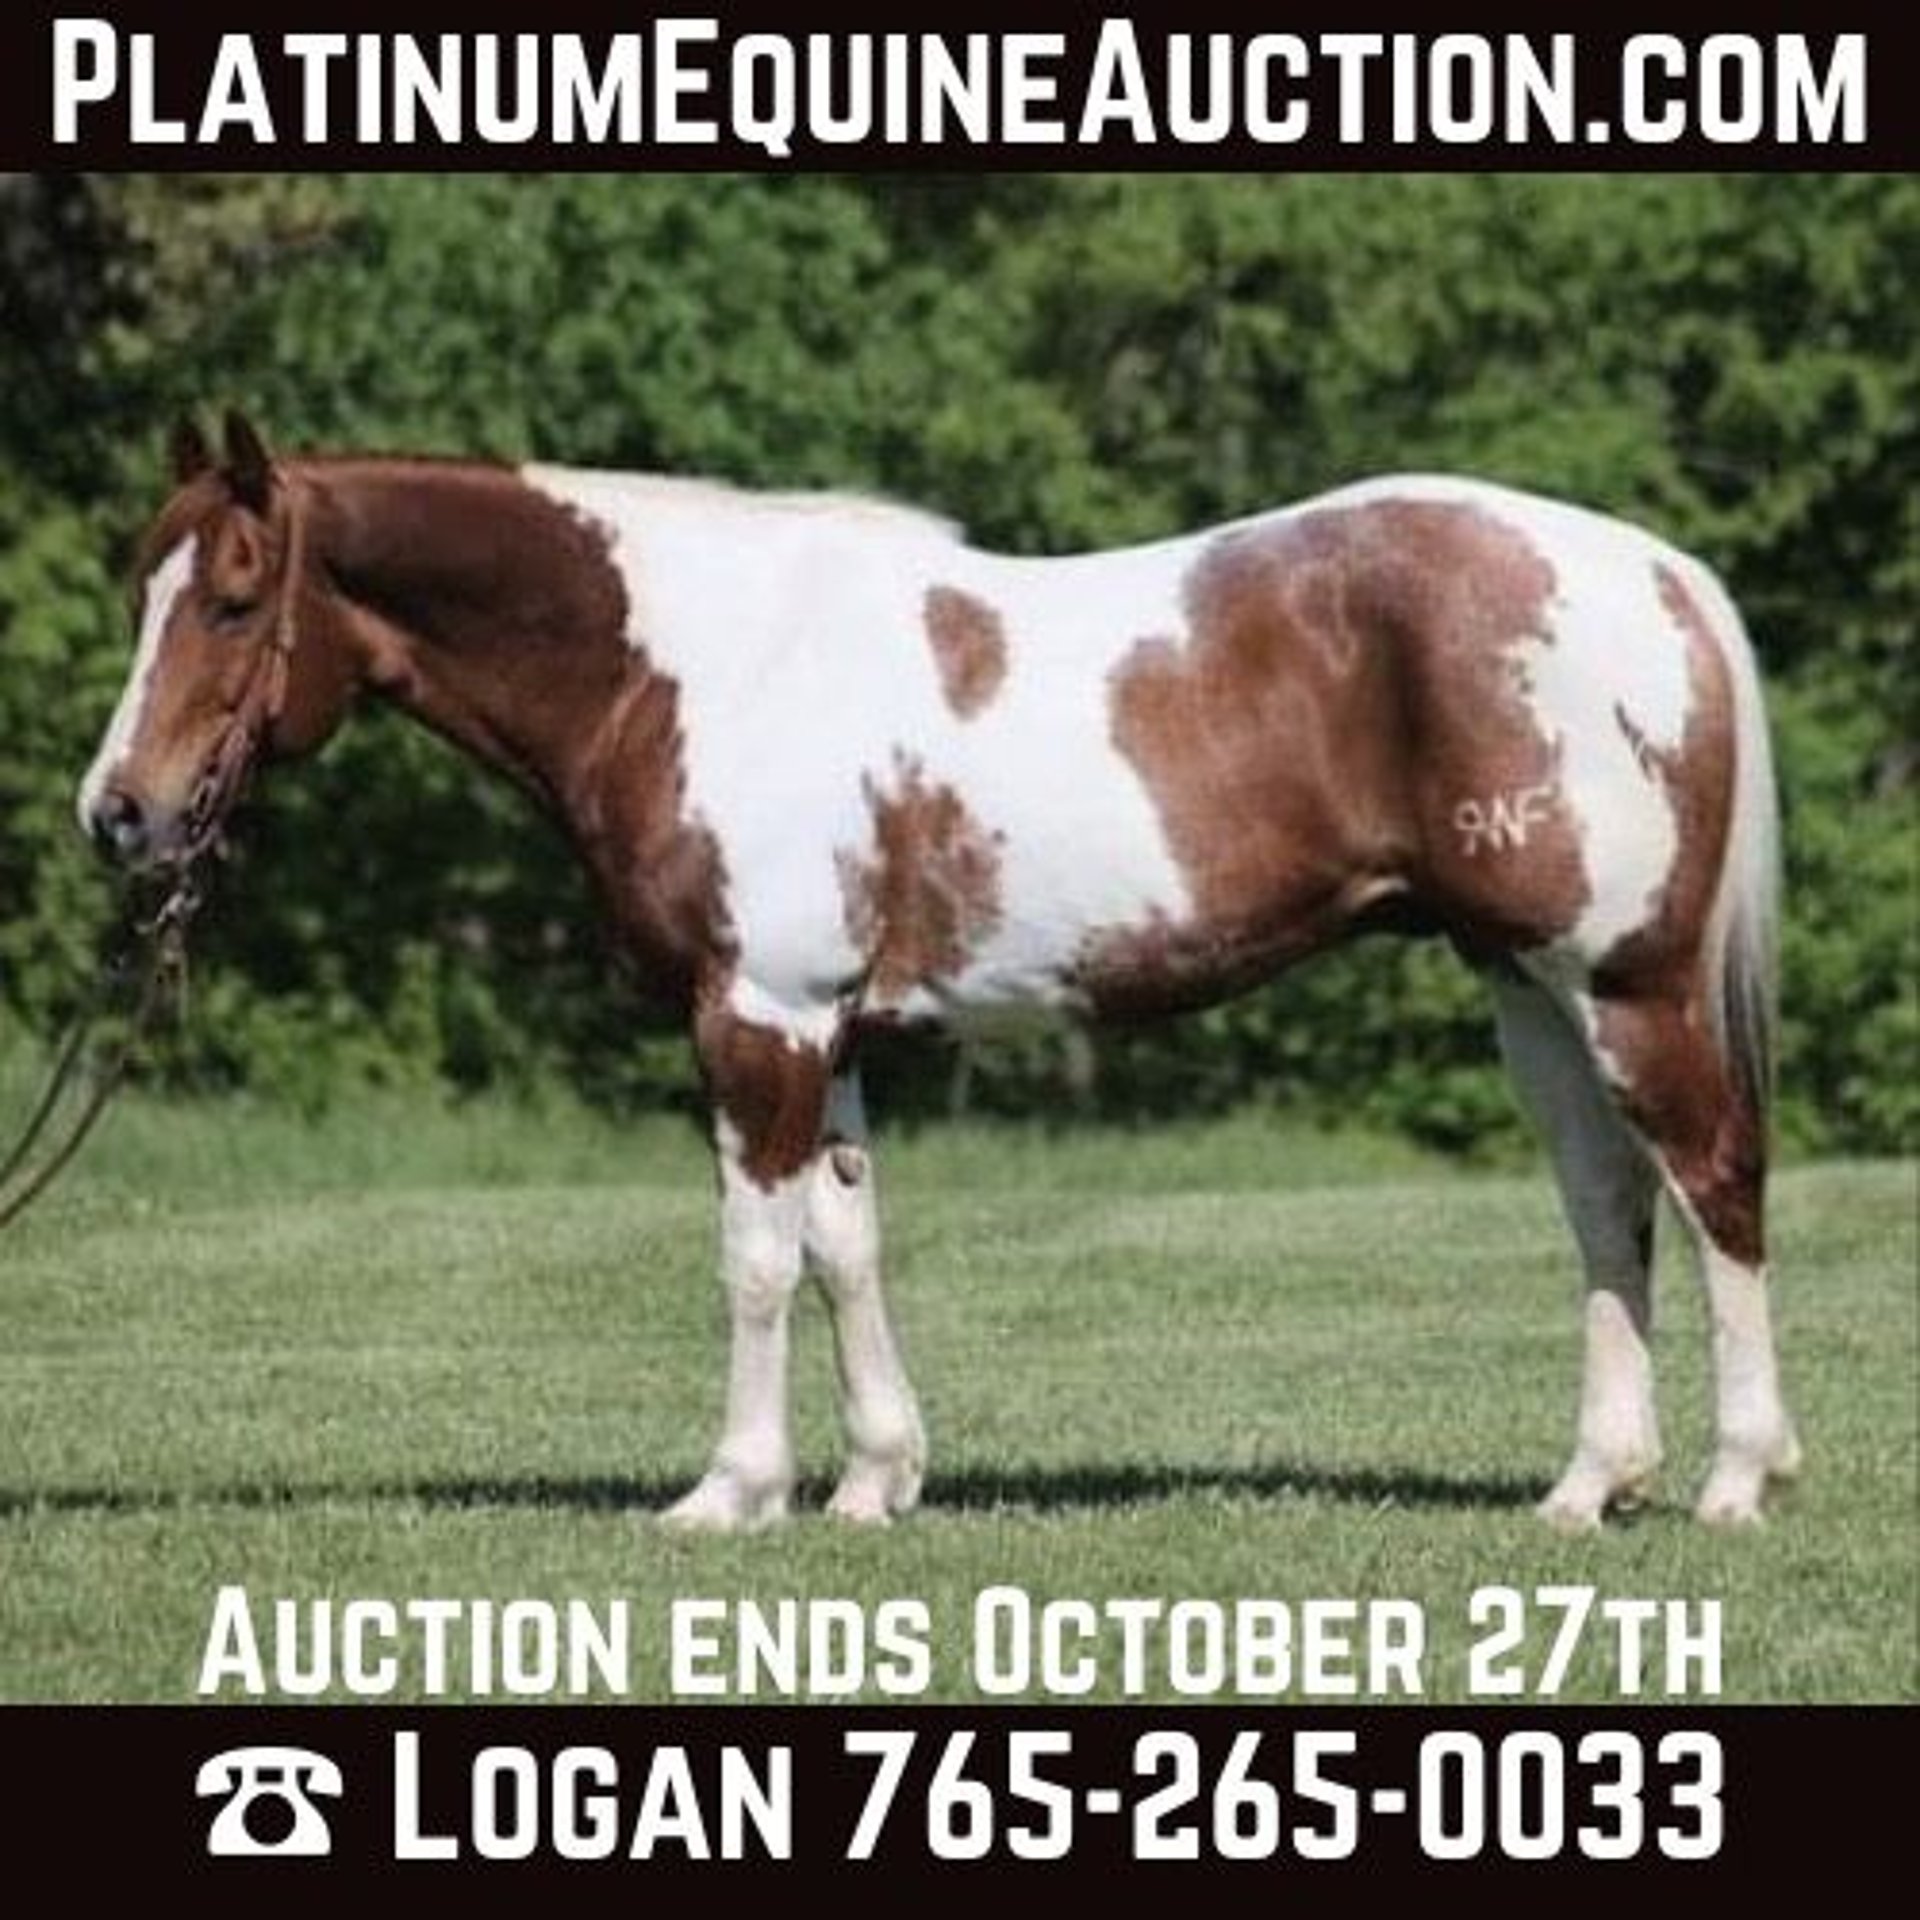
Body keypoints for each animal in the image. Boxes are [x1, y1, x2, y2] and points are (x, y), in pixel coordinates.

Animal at [76, 410, 1800, 1533]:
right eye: (141, 589)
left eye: (232, 597)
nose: (119, 814)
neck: (691, 669)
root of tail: (1657, 573)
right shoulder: (824, 1028)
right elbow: (848, 1246)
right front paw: (872, 1482)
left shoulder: (756, 1018)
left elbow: (756, 1260)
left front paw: (733, 1491)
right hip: (1528, 990)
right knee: (1607, 1202)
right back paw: (1588, 1486)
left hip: (1623, 985)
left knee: (1714, 1180)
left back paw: (1735, 1478)